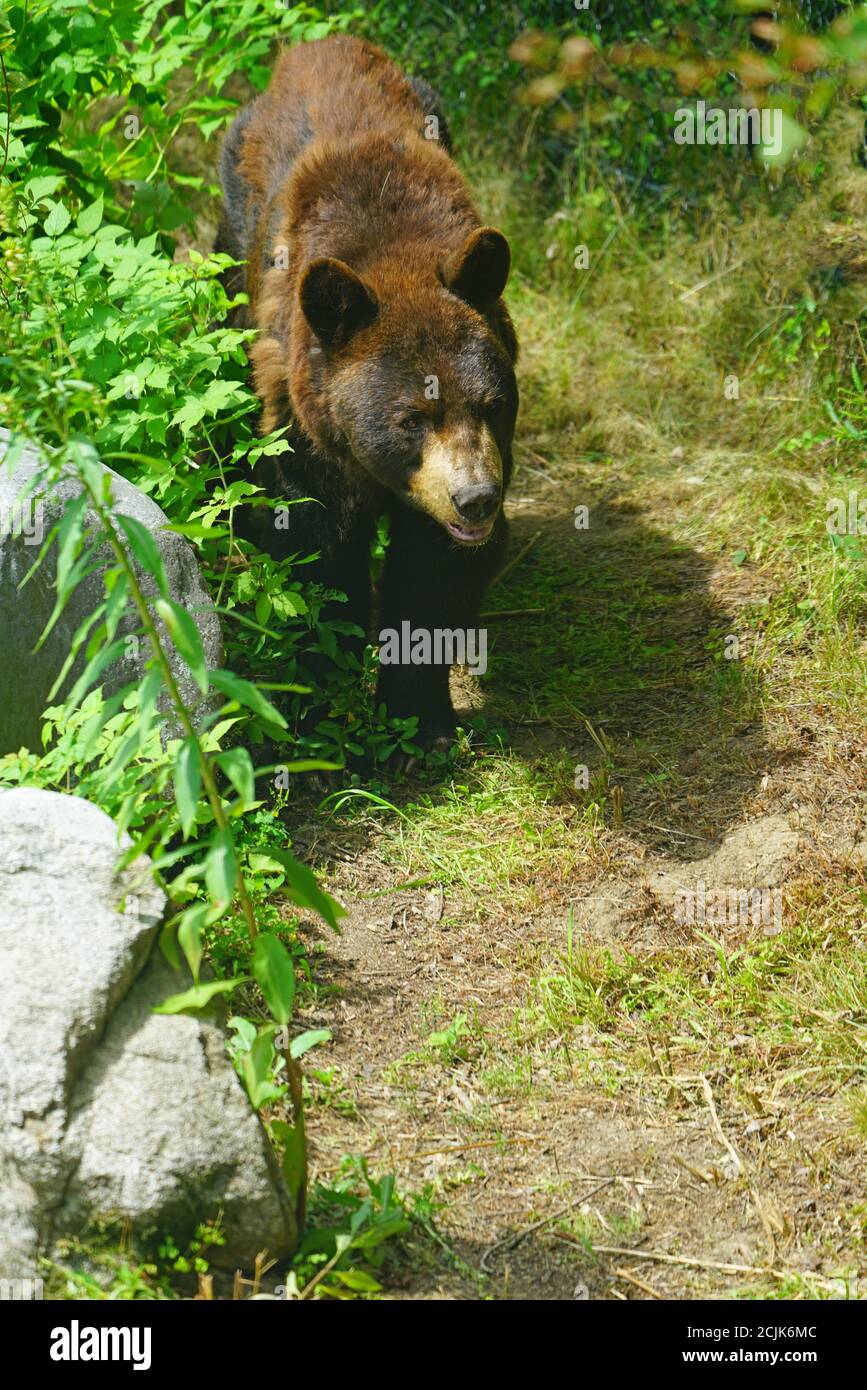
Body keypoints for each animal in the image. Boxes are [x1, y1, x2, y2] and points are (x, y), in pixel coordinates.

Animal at [216, 34, 518, 746]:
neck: (392, 250)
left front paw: (418, 723)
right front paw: (322, 712)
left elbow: (433, 571)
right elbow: (315, 548)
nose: (477, 499)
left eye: (493, 404)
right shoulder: (304, 423)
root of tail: (316, 45)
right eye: (413, 416)